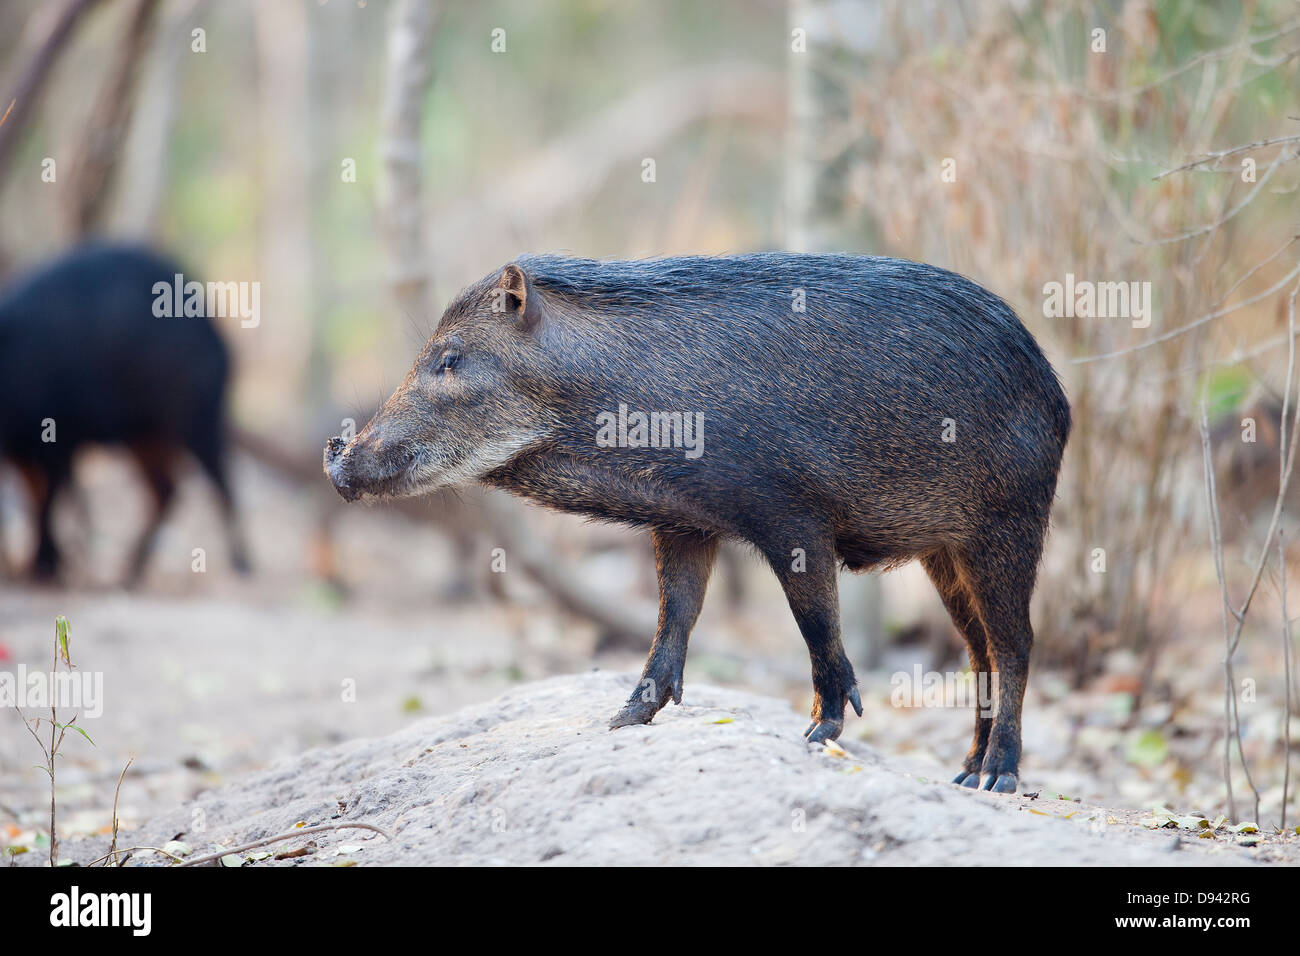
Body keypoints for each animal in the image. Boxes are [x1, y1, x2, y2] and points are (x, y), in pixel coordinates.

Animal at [0, 242, 249, 584]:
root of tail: (220, 341)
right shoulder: (26, 452)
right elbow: (37, 497)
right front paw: (43, 564)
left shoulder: (59, 440)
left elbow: (46, 500)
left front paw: (45, 566)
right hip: (146, 438)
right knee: (167, 491)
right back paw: (129, 571)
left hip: (198, 422)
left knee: (222, 482)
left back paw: (242, 564)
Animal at [324, 253, 1071, 793]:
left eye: (449, 359)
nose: (340, 464)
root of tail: (1059, 392)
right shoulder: (684, 522)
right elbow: (675, 617)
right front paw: (622, 719)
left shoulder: (792, 516)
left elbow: (816, 624)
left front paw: (821, 734)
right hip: (944, 551)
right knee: (977, 653)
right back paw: (965, 774)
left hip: (1008, 526)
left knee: (1016, 645)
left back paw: (998, 778)